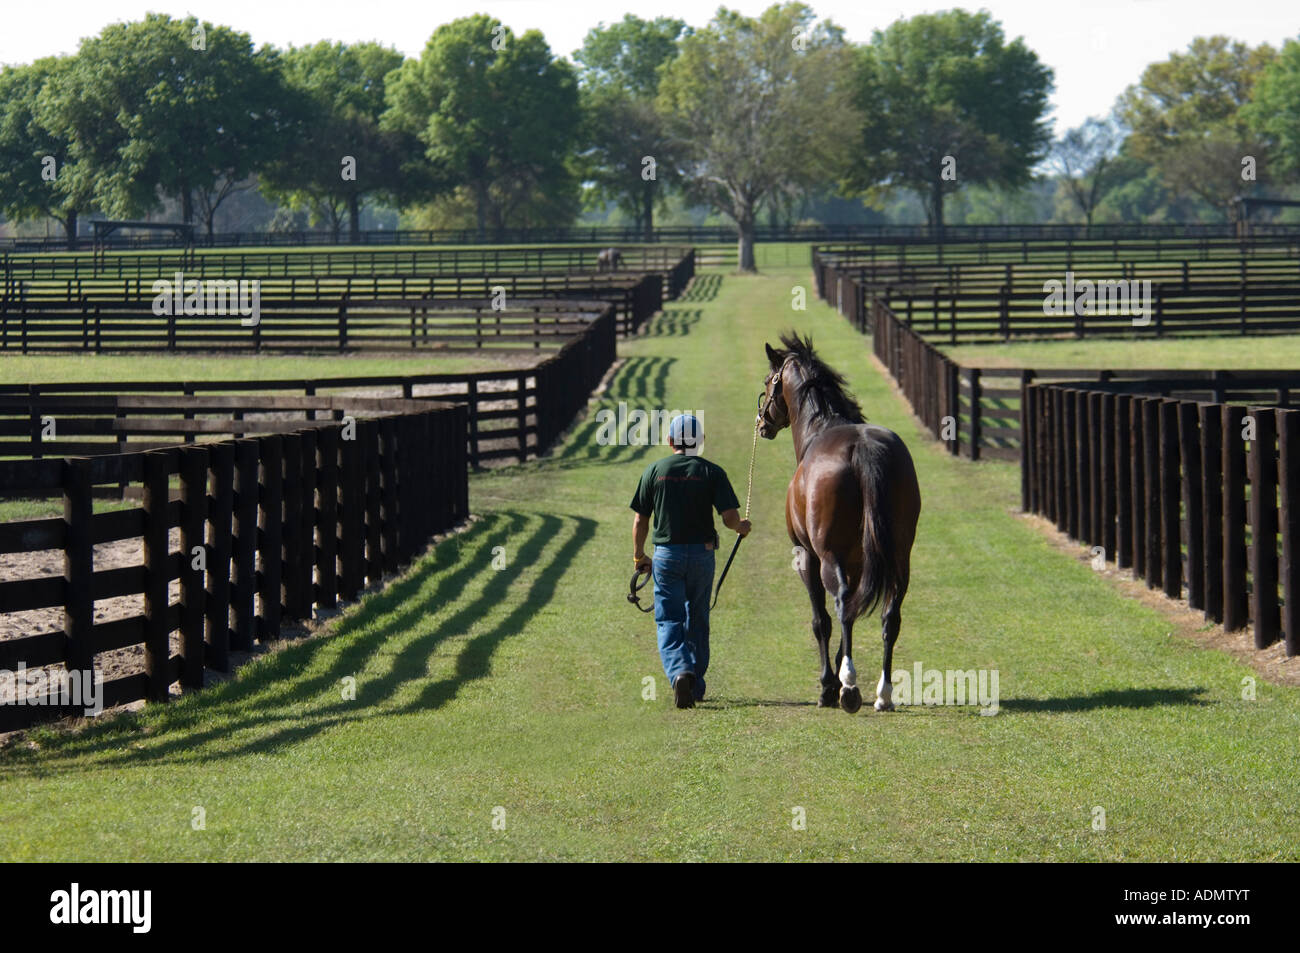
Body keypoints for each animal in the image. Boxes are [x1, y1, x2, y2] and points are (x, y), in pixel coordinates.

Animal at [757, 332, 921, 713]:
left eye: (769, 381)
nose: (761, 423)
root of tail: (863, 449)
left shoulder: (807, 556)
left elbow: (823, 620)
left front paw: (828, 685)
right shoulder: (859, 561)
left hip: (827, 555)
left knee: (843, 605)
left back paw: (848, 688)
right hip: (898, 557)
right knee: (890, 614)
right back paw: (883, 693)